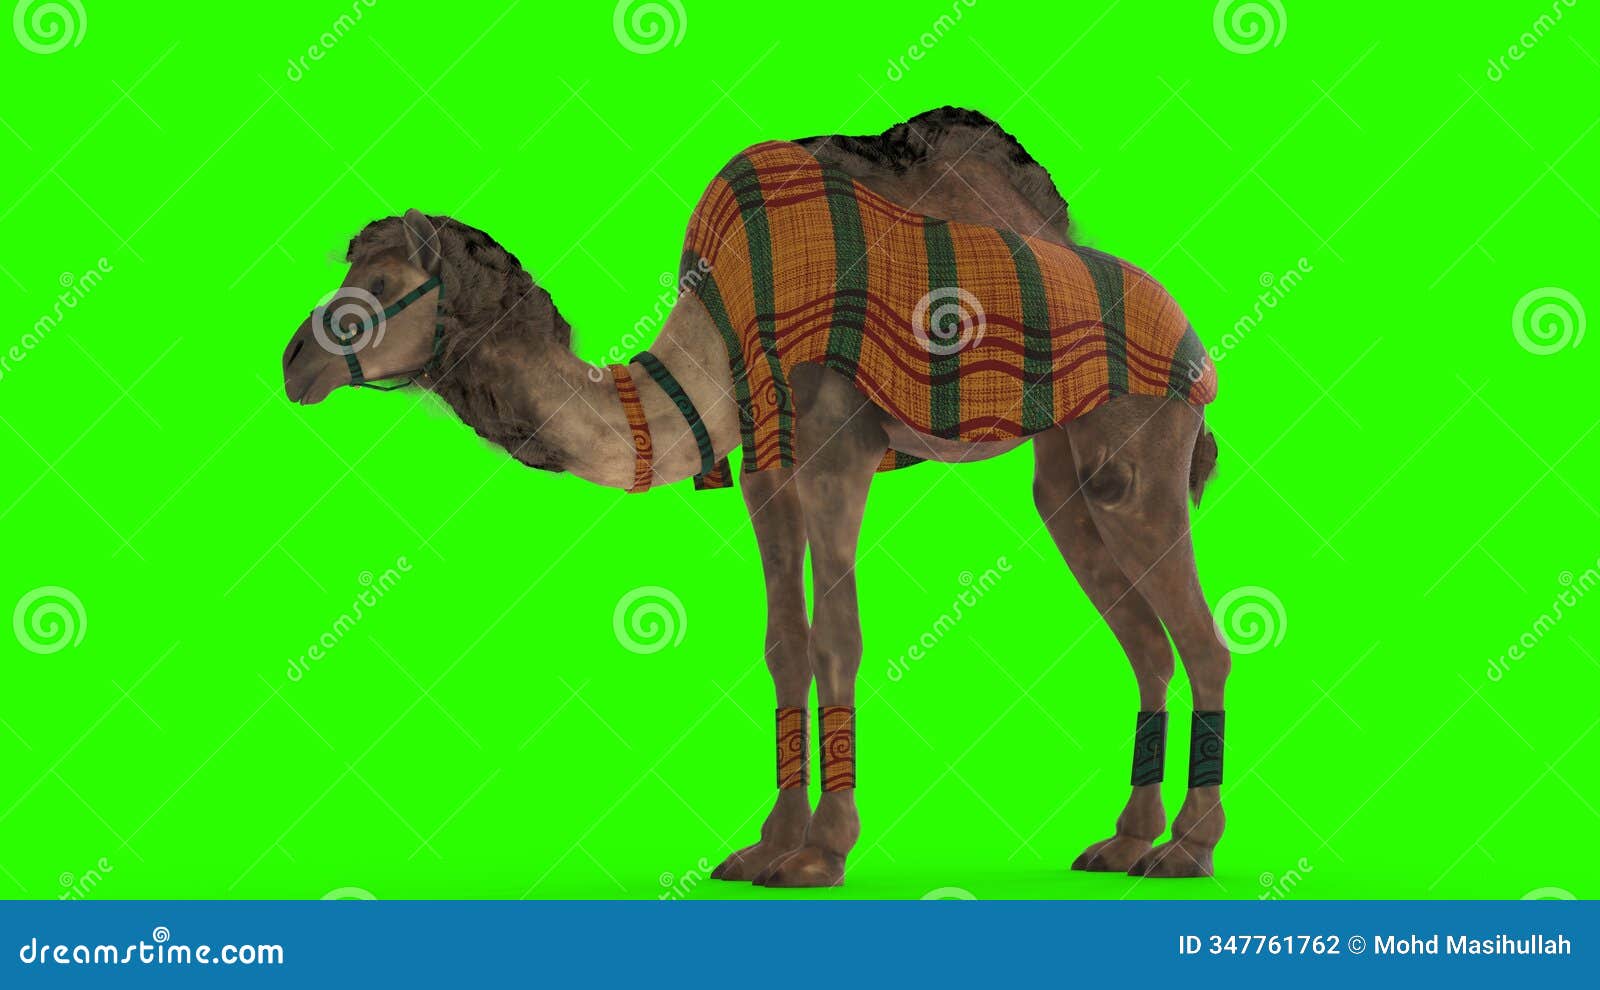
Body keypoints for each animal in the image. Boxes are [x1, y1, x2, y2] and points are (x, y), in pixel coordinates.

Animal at [280, 108, 1229, 887]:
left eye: (376, 291)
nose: (295, 362)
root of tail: (1193, 342)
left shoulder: (839, 451)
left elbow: (838, 641)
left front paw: (824, 852)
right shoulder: (767, 471)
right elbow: (785, 644)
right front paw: (769, 846)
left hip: (1143, 446)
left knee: (1201, 640)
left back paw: (1186, 849)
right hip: (1067, 471)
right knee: (1146, 640)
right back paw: (1125, 841)